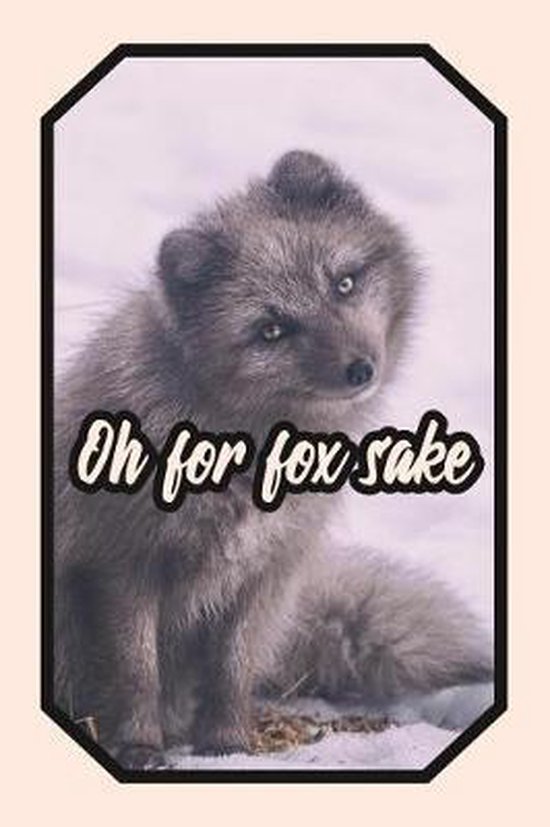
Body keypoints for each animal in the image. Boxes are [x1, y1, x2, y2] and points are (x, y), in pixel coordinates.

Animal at [53, 150, 493, 769]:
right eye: (272, 330)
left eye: (344, 282)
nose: (361, 369)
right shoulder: (122, 563)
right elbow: (136, 671)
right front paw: (140, 747)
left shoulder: (263, 573)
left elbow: (232, 669)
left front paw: (229, 747)